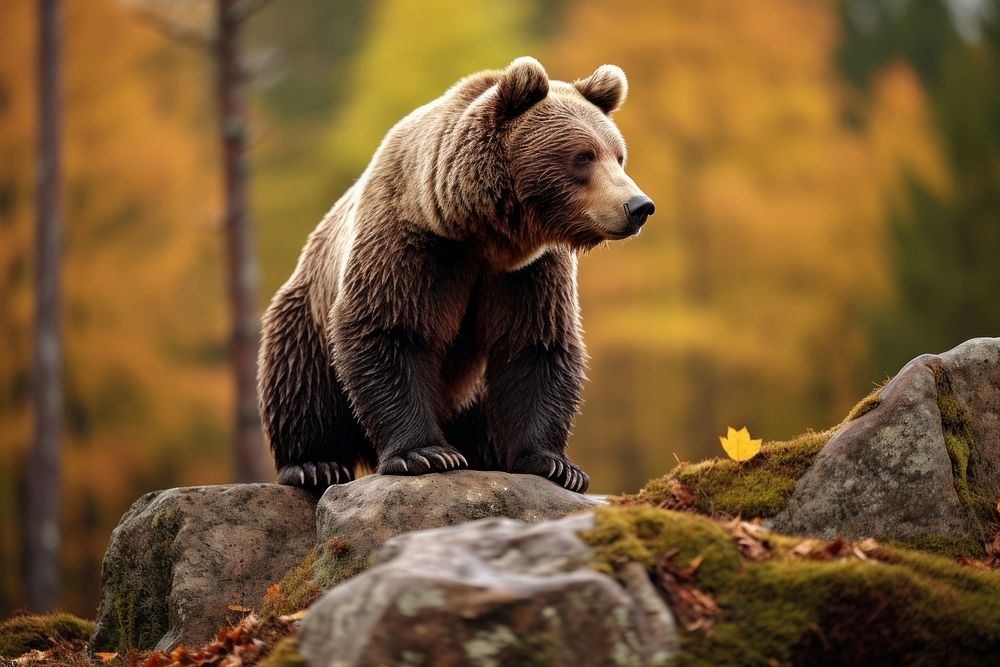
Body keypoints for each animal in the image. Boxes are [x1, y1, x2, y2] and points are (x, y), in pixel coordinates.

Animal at [257, 57, 653, 494]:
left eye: (618, 156)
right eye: (583, 155)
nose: (638, 206)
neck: (482, 233)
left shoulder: (528, 272)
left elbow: (534, 344)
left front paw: (556, 464)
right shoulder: (412, 244)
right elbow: (389, 329)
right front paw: (426, 454)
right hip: (307, 308)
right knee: (302, 380)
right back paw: (314, 464)